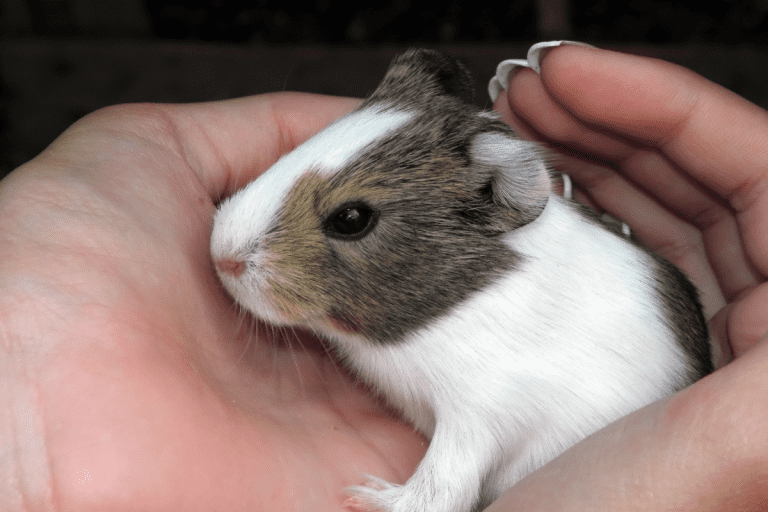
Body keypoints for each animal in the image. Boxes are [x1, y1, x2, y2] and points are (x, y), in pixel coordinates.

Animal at [210, 49, 713, 512]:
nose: (220, 256)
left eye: (351, 218)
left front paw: (367, 497)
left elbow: (441, 484)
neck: (457, 304)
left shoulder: (479, 414)